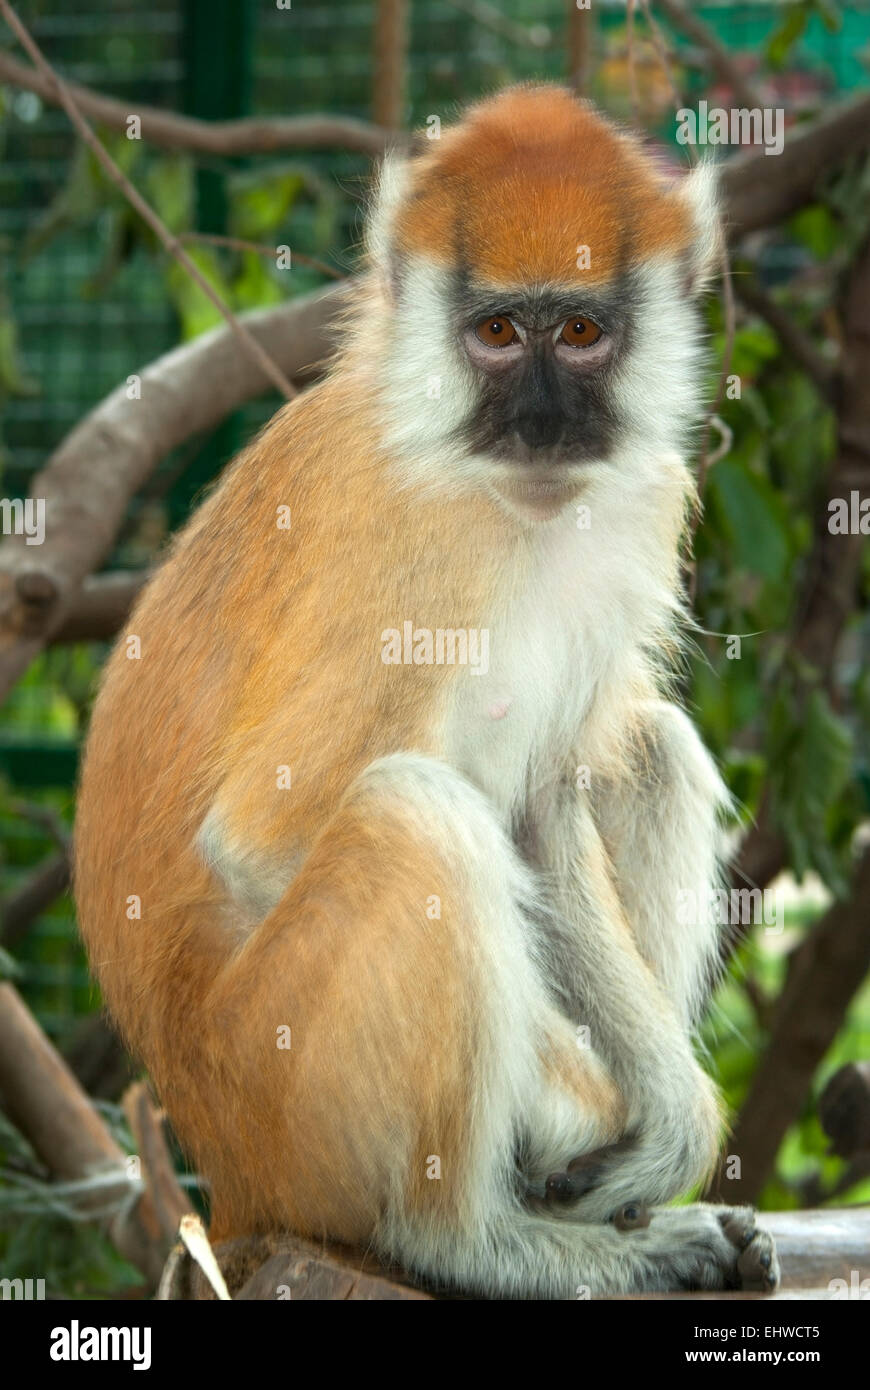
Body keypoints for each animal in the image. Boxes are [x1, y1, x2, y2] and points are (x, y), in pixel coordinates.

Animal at [75, 85, 780, 1298]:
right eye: (496, 333)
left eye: (580, 332)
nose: (542, 425)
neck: (502, 496)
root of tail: (225, 1172)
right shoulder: (414, 546)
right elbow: (259, 845)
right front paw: (588, 1117)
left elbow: (547, 803)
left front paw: (673, 1123)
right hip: (278, 1091)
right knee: (419, 816)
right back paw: (479, 1243)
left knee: (651, 750)